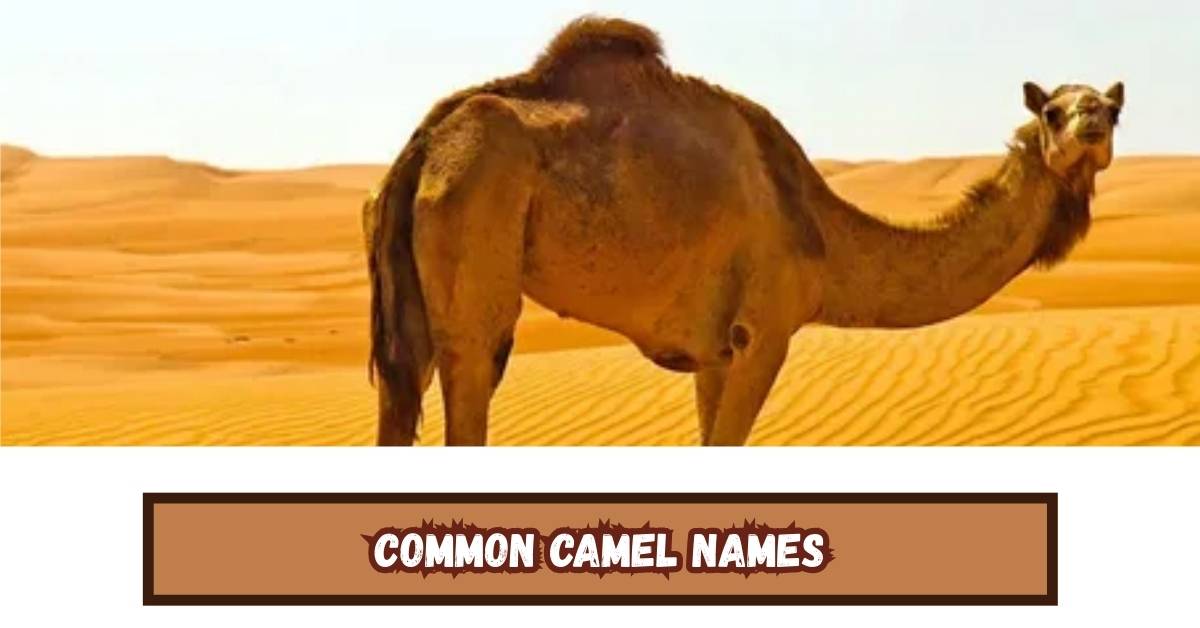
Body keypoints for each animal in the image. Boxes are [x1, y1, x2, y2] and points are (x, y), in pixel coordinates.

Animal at [364, 17, 1124, 446]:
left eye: (1111, 109)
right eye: (1052, 111)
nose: (1090, 122)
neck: (823, 238)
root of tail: (426, 142)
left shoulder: (712, 352)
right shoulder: (764, 332)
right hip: (476, 220)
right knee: (472, 376)